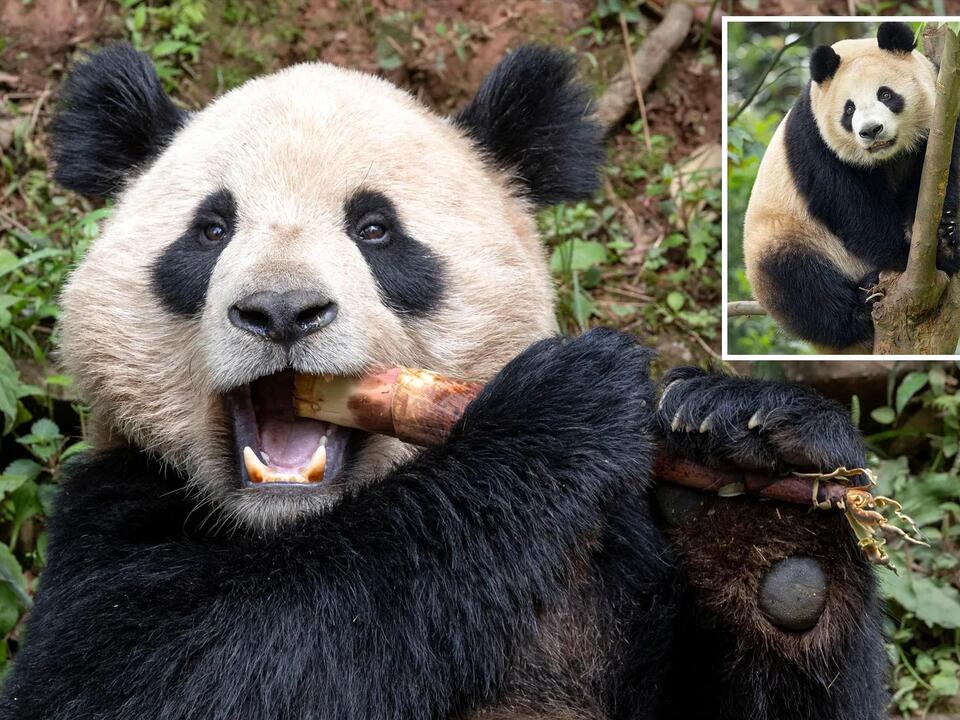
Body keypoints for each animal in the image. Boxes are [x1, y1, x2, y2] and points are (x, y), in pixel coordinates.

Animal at [0, 43, 887, 720]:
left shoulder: (613, 563)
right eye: (211, 229)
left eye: (375, 229)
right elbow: (177, 673)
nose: (281, 312)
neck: (295, 528)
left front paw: (755, 473)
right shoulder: (114, 508)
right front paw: (558, 410)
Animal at [744, 21, 960, 352]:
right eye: (849, 109)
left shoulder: (943, 113)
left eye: (886, 94)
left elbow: (944, 173)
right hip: (786, 235)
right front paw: (907, 254)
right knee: (798, 284)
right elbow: (853, 208)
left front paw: (945, 237)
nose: (871, 130)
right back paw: (862, 305)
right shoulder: (815, 140)